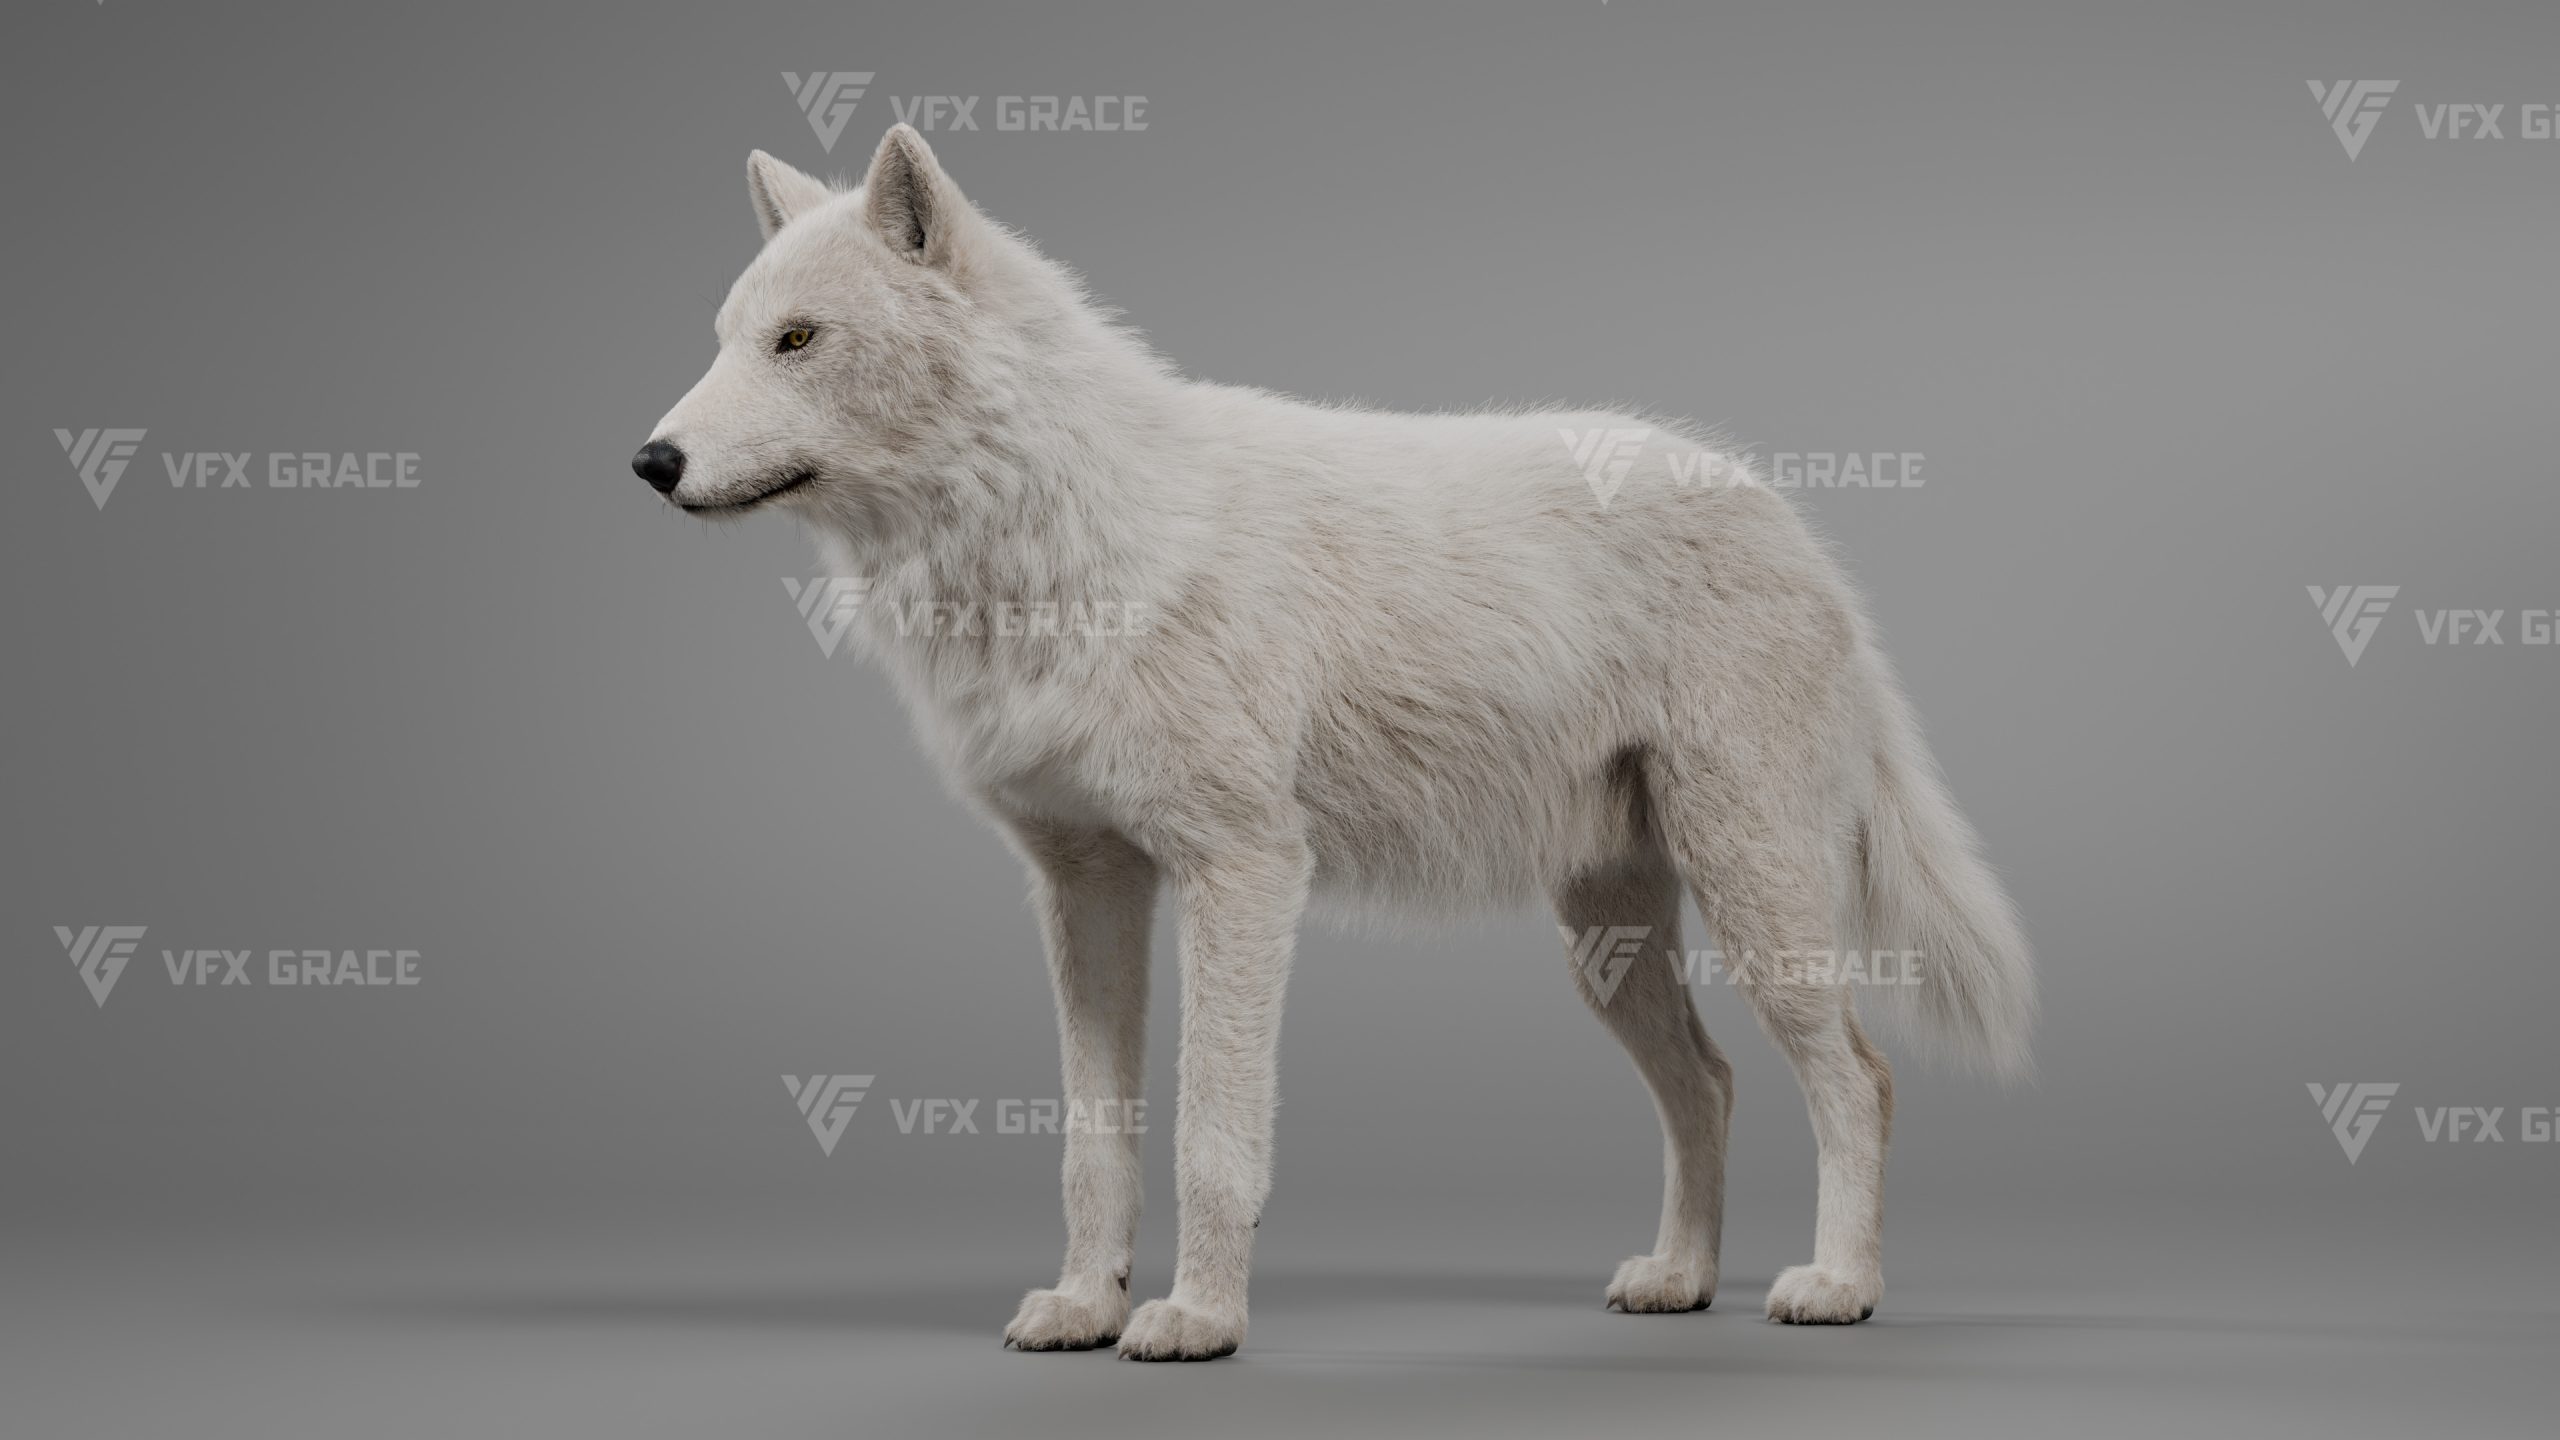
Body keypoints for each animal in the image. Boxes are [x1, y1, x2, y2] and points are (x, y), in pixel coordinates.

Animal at [637, 125, 2034, 1361]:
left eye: (797, 340)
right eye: (724, 342)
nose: (651, 461)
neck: (1058, 547)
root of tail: (1788, 518)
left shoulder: (1242, 872)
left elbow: (1212, 1134)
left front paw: (1198, 1322)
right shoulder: (1085, 888)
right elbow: (1094, 1141)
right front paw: (1085, 1307)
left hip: (1755, 901)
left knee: (1856, 1077)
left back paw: (1838, 1288)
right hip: (1607, 943)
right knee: (1712, 1083)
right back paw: (1680, 1279)